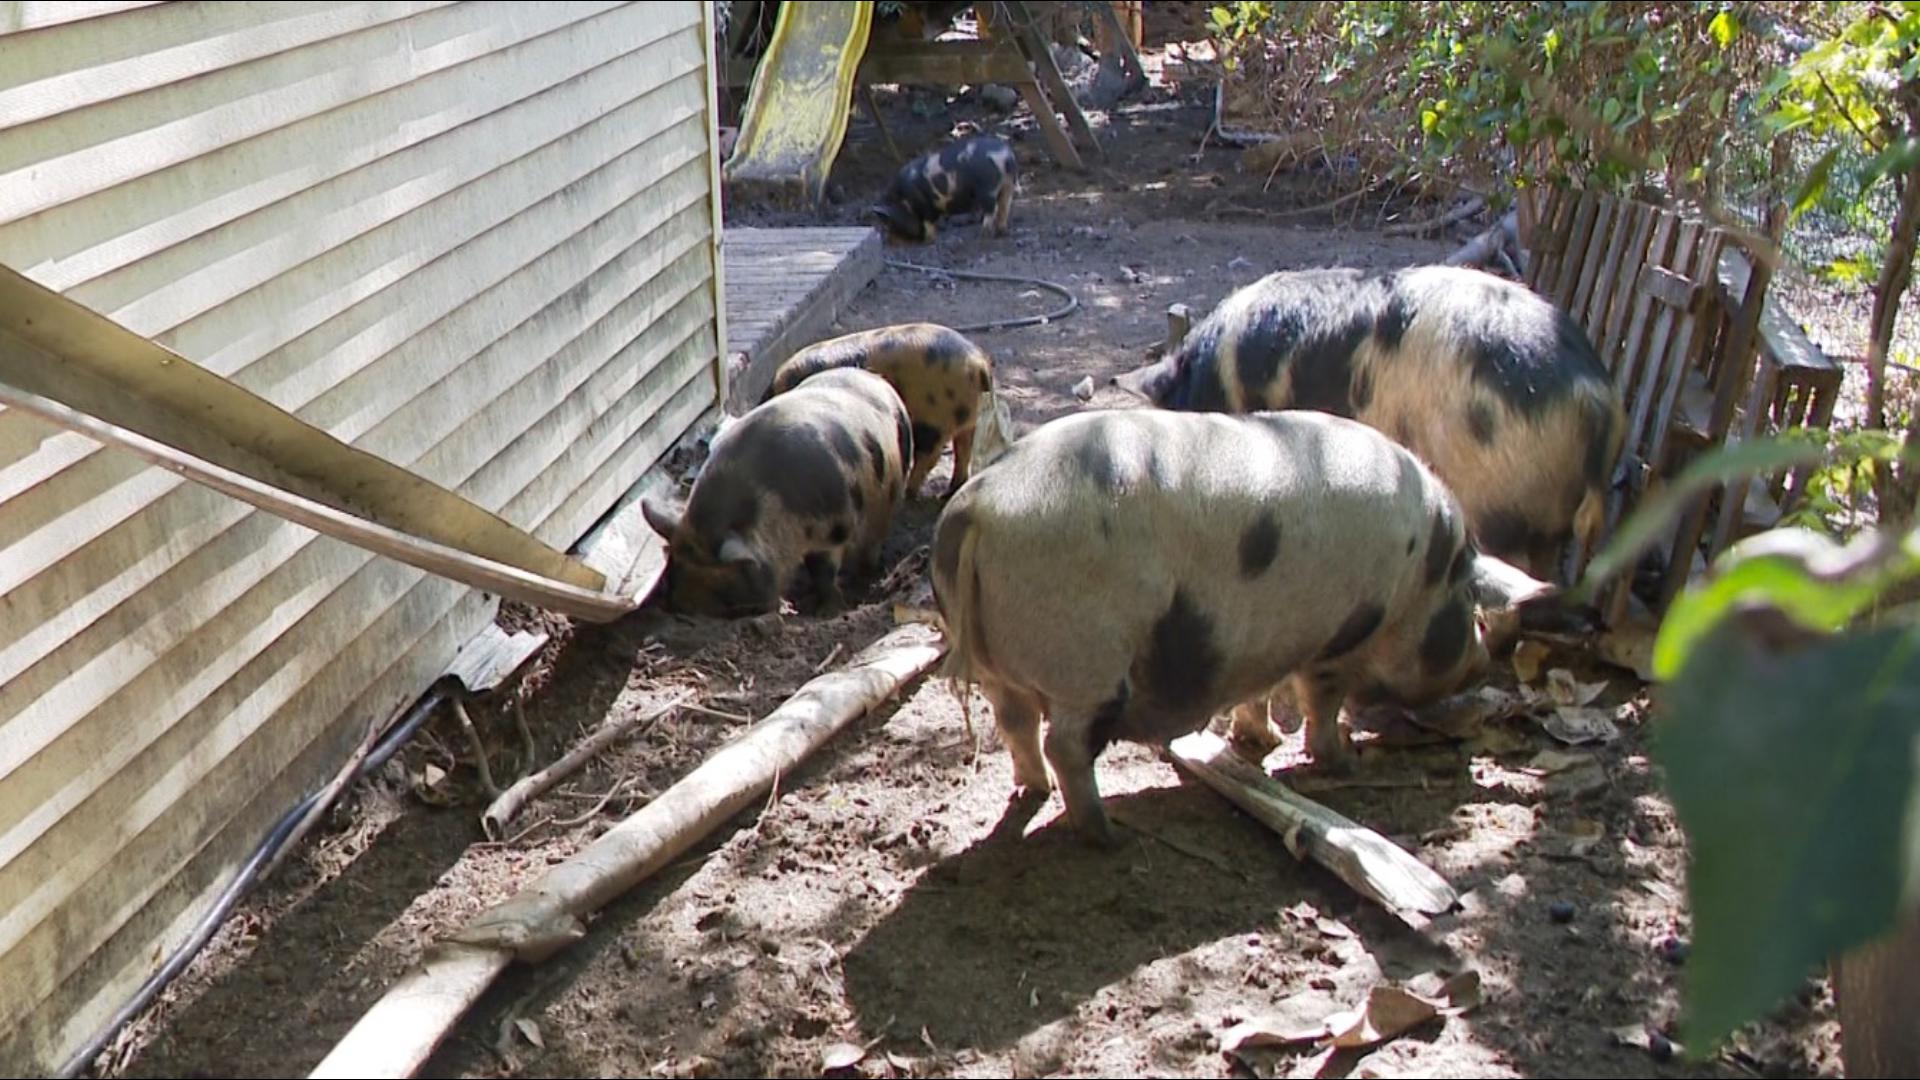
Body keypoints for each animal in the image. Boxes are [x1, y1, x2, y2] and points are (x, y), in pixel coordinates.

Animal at [643, 367, 912, 618]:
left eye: (724, 589)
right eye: (673, 570)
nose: (684, 609)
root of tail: (872, 376)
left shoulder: (835, 526)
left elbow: (822, 570)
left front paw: (828, 611)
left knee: (875, 540)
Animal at [762, 323, 995, 497]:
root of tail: (978, 364)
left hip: (934, 418)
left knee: (930, 455)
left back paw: (910, 493)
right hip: (965, 418)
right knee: (963, 448)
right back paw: (948, 491)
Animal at [871, 134, 1018, 243]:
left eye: (889, 223)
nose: (888, 241)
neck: (902, 198)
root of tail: (1006, 156)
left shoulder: (921, 202)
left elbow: (927, 220)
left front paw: (928, 241)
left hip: (988, 189)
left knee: (992, 210)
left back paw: (983, 235)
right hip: (1008, 185)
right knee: (1004, 207)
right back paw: (1002, 232)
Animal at [930, 407, 1554, 846]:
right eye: (1470, 603)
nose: (1482, 665)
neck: (1418, 579)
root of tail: (977, 507)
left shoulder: (1265, 643)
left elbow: (1263, 692)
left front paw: (1261, 741)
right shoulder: (1337, 641)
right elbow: (1320, 703)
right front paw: (1344, 758)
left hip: (1000, 667)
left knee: (1015, 723)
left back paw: (1036, 791)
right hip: (1086, 663)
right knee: (1064, 743)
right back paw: (1107, 836)